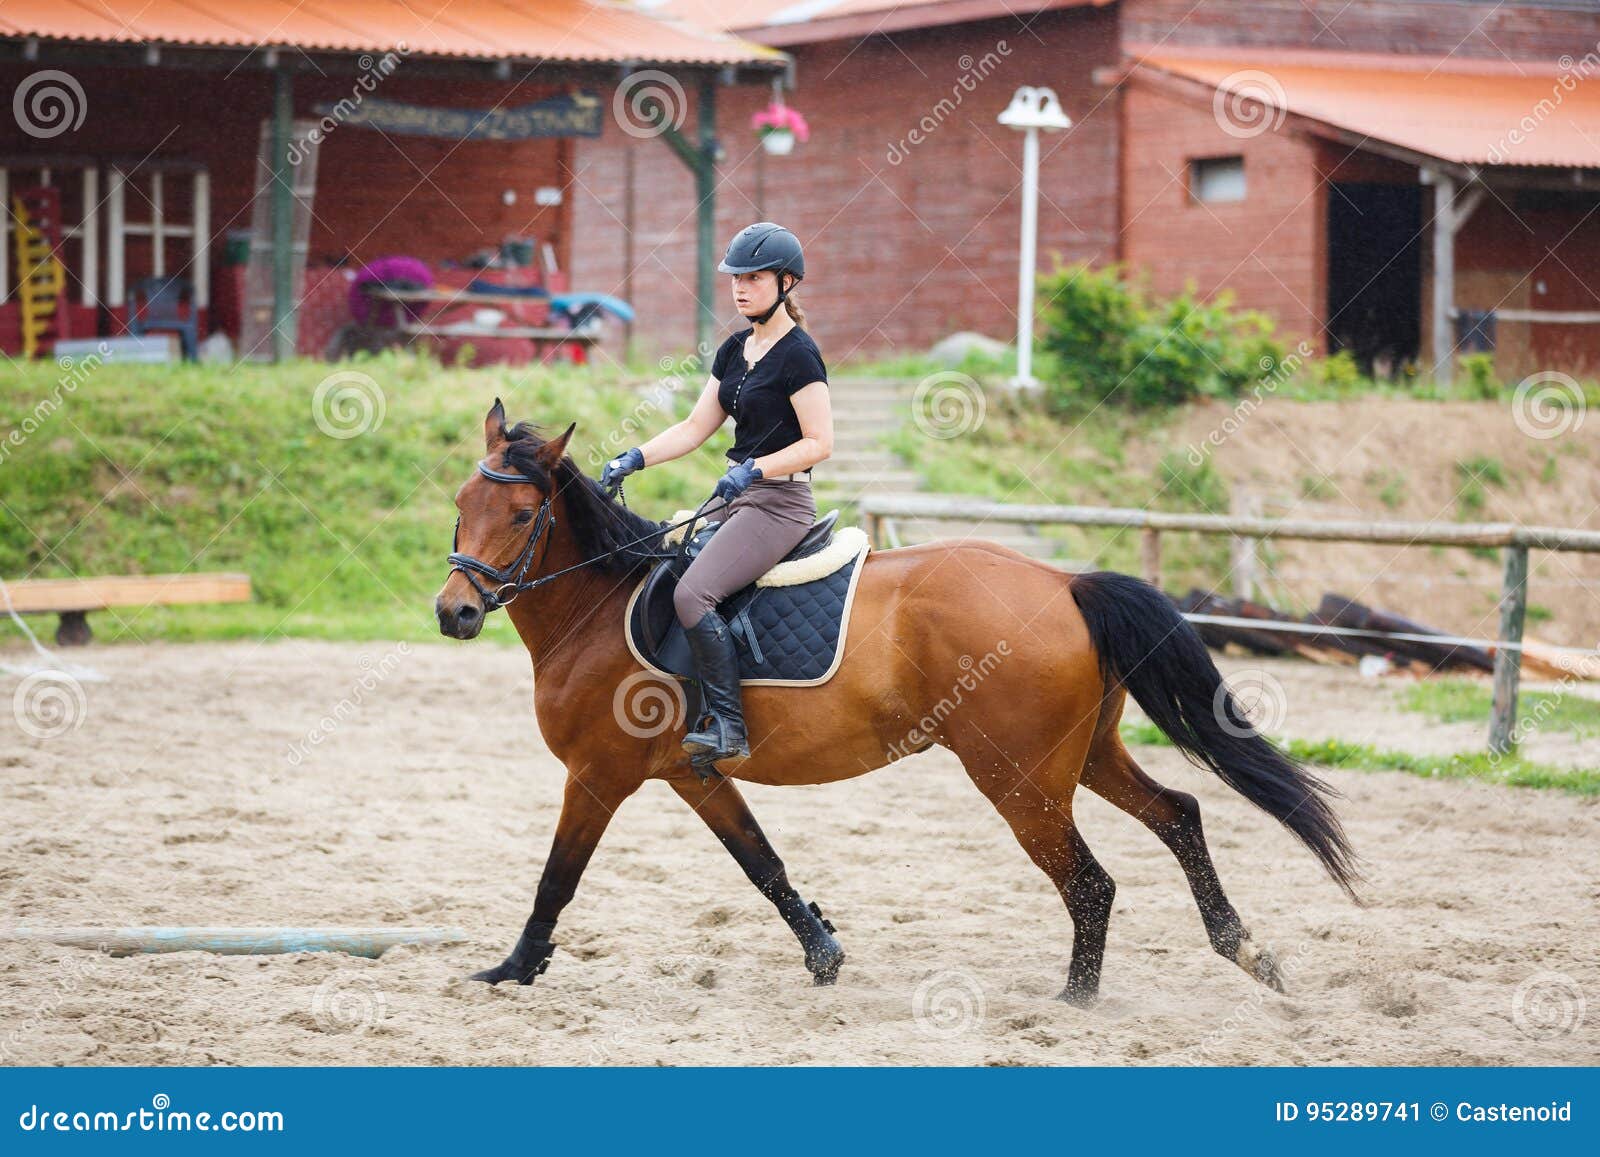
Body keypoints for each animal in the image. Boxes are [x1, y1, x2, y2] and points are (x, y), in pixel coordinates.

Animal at [434, 401, 1360, 1005]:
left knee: (1092, 880)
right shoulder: (694, 775)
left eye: (522, 513)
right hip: (1089, 754)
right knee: (1179, 814)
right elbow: (763, 863)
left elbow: (557, 875)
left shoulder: (600, 771)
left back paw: (1077, 997)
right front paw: (824, 953)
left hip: (1020, 778)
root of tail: (1063, 581)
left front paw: (513, 967)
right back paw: (1244, 950)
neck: (596, 609)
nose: (455, 613)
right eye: (461, 505)